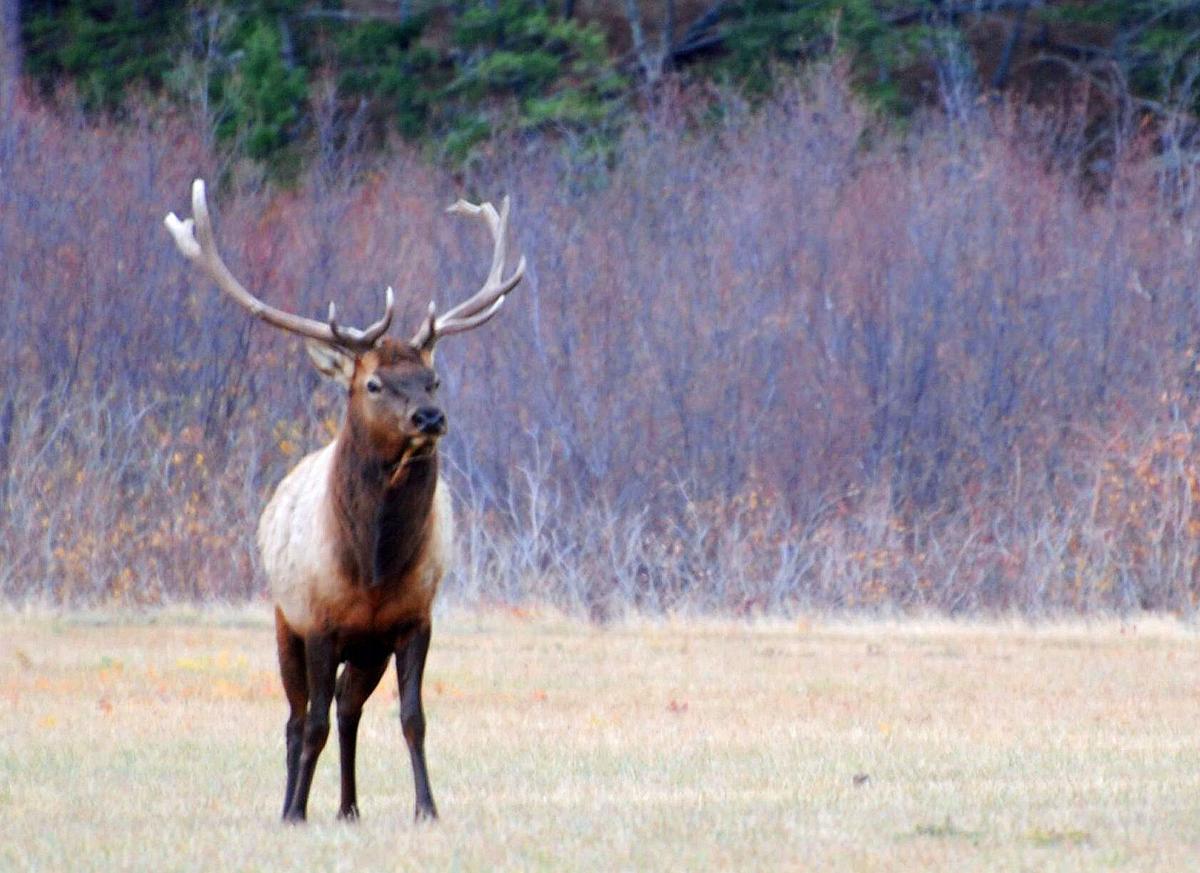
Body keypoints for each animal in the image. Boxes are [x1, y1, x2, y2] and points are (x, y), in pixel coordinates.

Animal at [164, 179, 525, 823]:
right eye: (374, 383)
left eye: (433, 379)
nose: (430, 417)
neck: (371, 568)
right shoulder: (317, 620)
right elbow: (310, 727)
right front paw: (293, 811)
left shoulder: (413, 620)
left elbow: (412, 719)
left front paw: (426, 809)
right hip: (286, 623)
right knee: (298, 717)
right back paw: (298, 802)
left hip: (366, 651)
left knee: (348, 710)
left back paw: (349, 808)